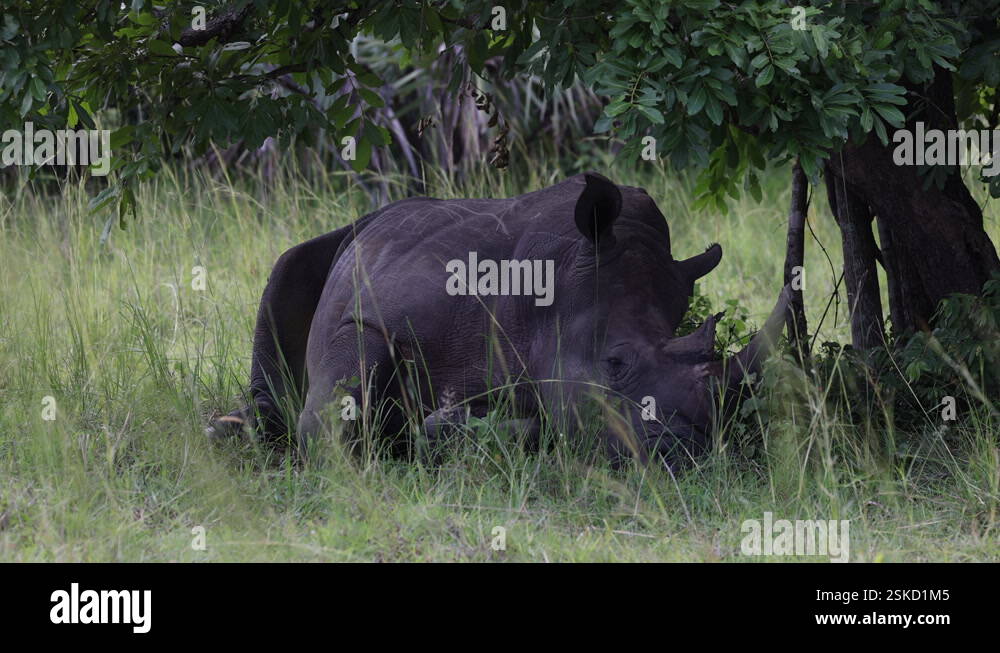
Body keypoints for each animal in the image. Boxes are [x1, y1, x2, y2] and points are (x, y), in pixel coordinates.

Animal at [208, 172, 789, 466]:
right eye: (615, 363)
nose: (687, 447)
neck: (550, 295)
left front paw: (429, 431)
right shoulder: (372, 312)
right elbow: (331, 416)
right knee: (289, 266)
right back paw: (234, 430)